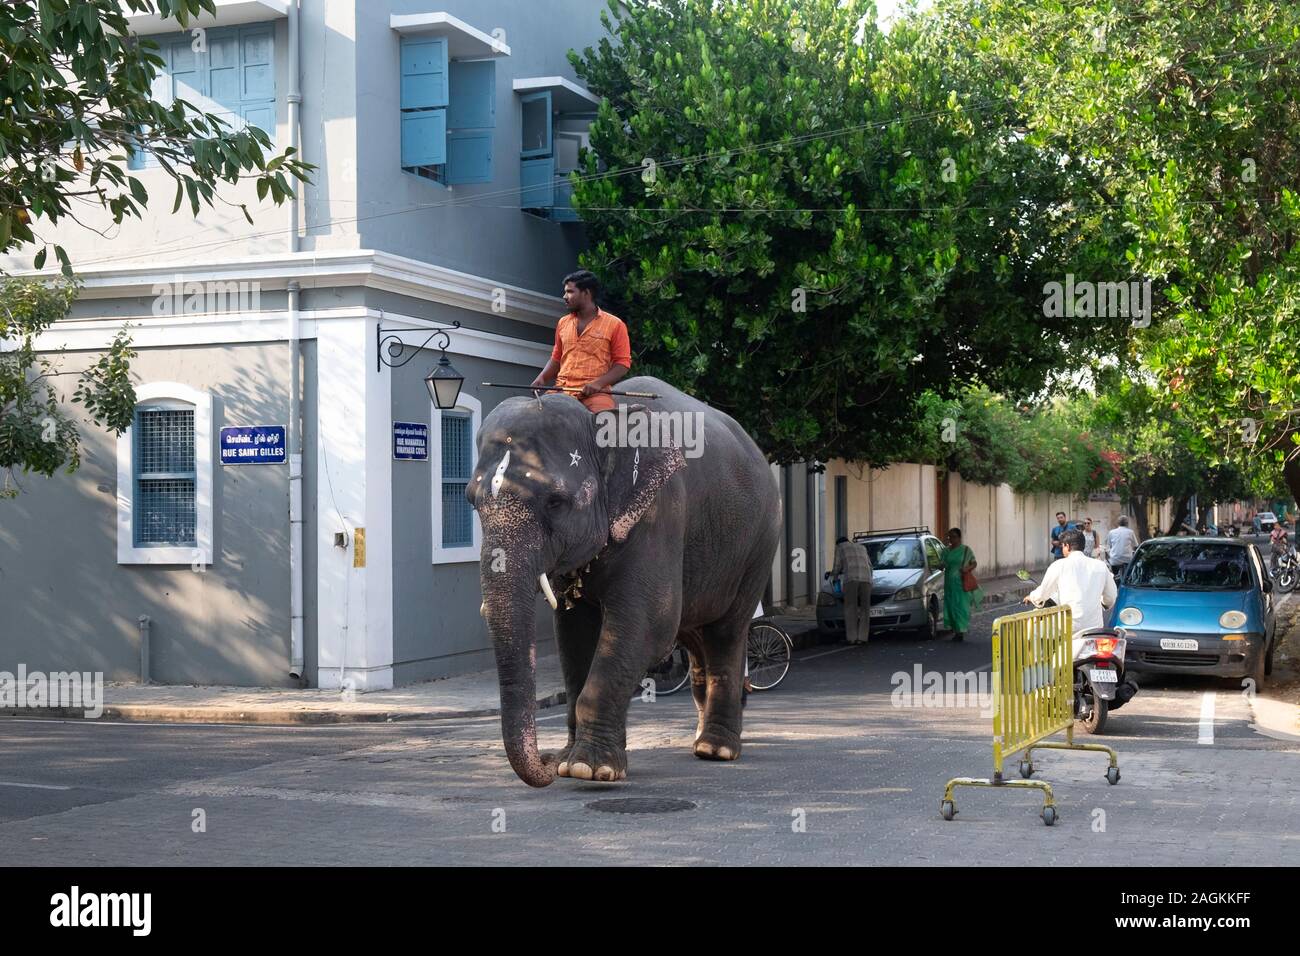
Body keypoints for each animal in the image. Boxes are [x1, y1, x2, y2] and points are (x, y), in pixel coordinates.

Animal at [468, 375, 781, 787]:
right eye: (471, 501)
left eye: (555, 502)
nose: (547, 760)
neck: (600, 424)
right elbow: (573, 632)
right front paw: (569, 761)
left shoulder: (659, 513)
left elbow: (647, 624)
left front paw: (588, 769)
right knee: (696, 636)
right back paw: (701, 739)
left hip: (759, 544)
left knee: (726, 632)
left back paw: (716, 750)